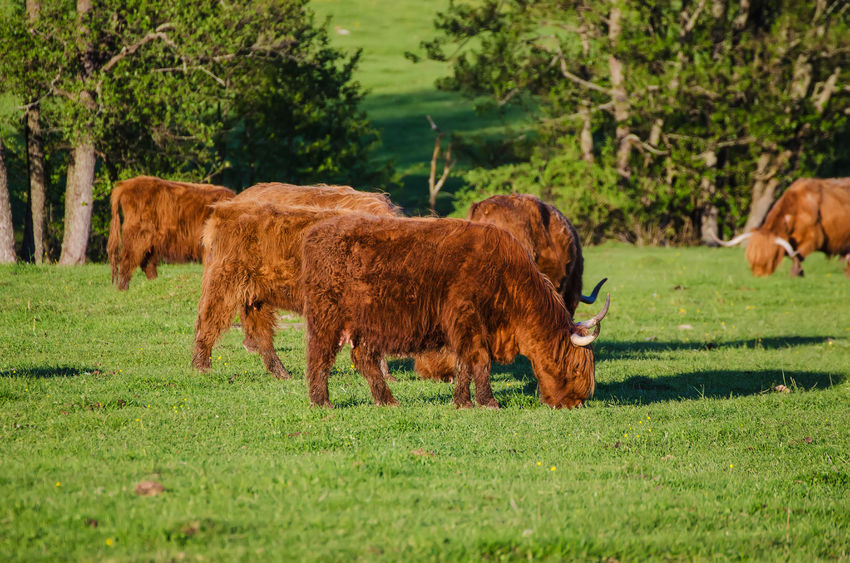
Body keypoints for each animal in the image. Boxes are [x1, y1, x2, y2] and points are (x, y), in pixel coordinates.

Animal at [299, 214, 610, 409]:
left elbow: (465, 365)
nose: (576, 403)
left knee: (364, 359)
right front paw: (488, 402)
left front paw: (462, 401)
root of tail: (317, 232)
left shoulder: (466, 330)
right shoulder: (468, 320)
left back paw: (386, 400)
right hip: (327, 316)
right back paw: (321, 401)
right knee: (320, 356)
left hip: (366, 325)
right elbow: (480, 363)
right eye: (575, 367)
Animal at [714, 178, 850, 277]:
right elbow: (793, 254)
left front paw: (795, 273)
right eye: (751, 259)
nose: (759, 275)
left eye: (770, 259)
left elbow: (797, 255)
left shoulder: (815, 238)